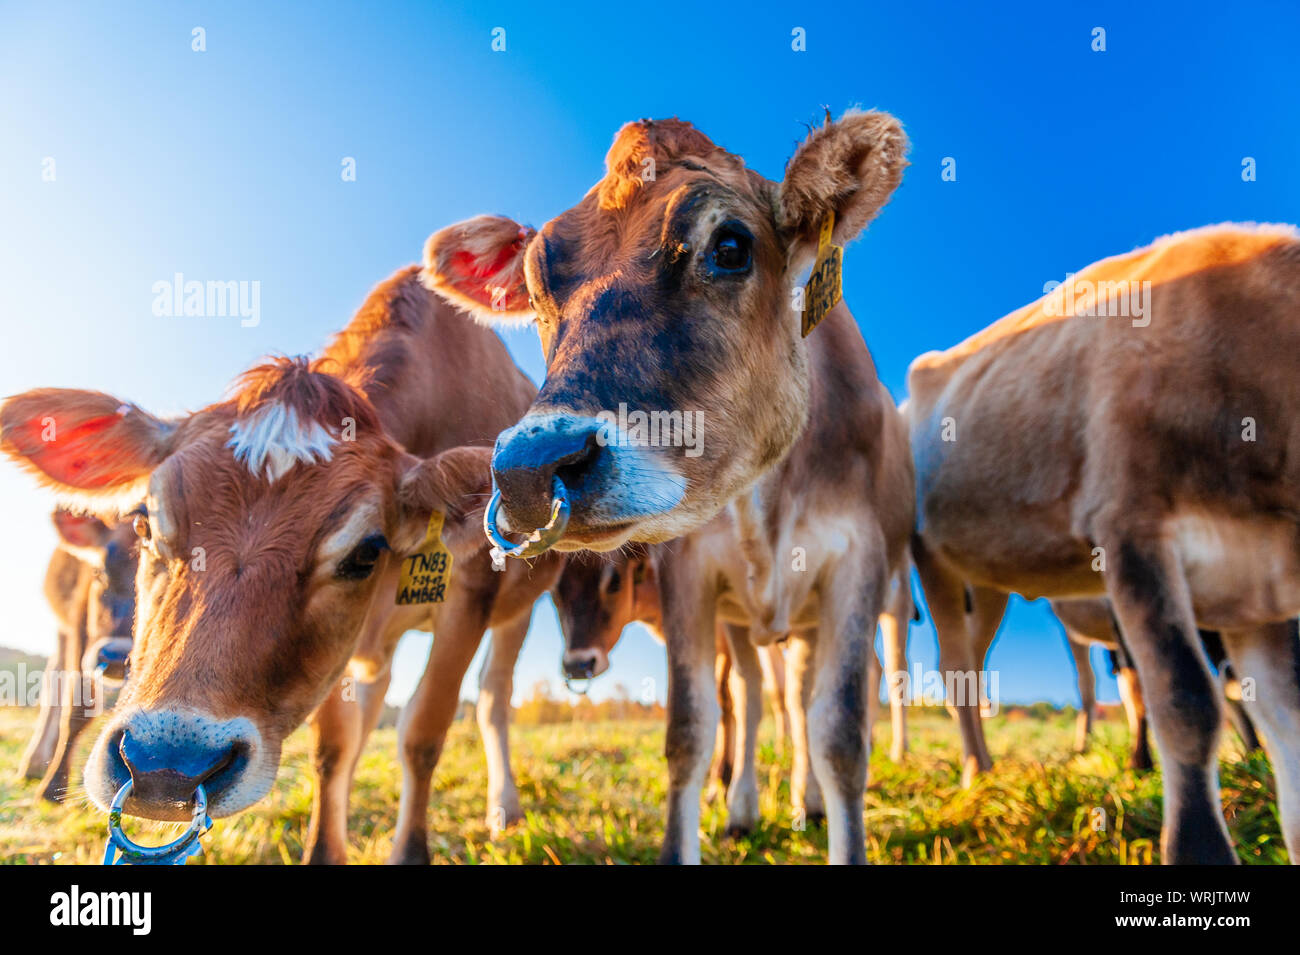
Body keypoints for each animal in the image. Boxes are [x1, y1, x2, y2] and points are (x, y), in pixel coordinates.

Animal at [19, 510, 136, 803]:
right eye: (100, 573)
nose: (116, 656)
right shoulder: (81, 619)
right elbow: (77, 709)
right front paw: (52, 788)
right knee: (55, 681)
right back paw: (35, 765)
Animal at [421, 110, 914, 863]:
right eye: (536, 284)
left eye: (731, 245)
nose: (532, 468)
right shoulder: (691, 570)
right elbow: (692, 727)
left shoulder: (858, 562)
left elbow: (839, 736)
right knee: (763, 693)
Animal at [907, 223, 1300, 863]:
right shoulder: (1131, 531)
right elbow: (1186, 700)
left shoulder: (1256, 582)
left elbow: (1283, 713)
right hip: (932, 557)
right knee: (956, 666)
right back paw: (974, 775)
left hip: (986, 581)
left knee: (976, 657)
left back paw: (985, 767)